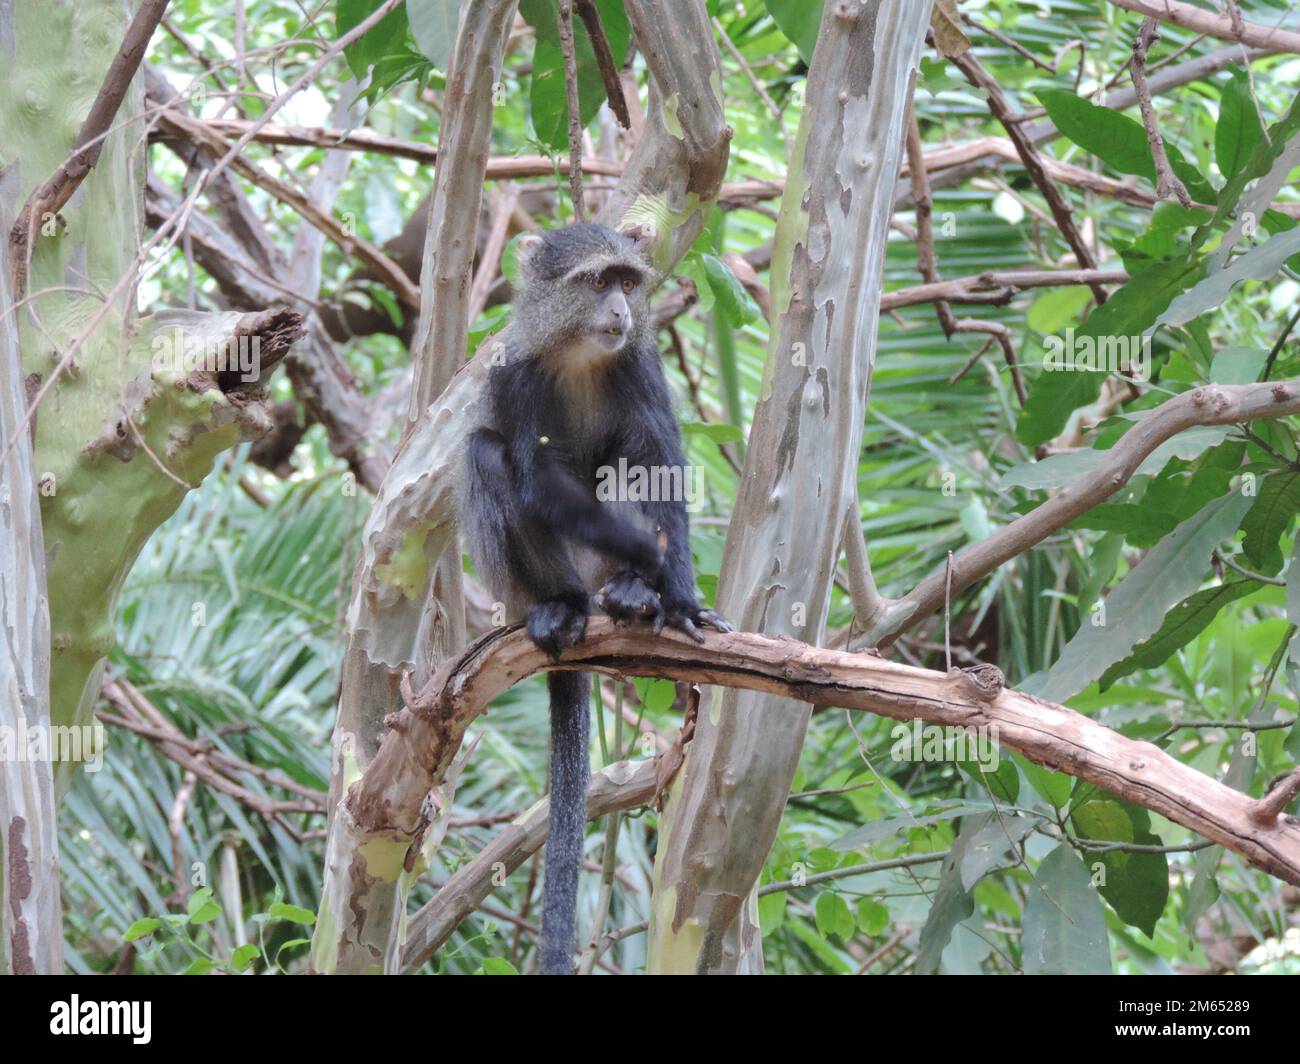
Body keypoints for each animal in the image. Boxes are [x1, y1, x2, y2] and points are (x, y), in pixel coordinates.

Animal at [458, 222, 730, 975]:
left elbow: (660, 463)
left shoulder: (641, 367)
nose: (620, 311)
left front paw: (674, 587)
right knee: (485, 451)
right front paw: (648, 558)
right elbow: (534, 471)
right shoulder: (514, 376)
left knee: (625, 461)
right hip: (523, 579)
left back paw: (631, 595)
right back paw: (564, 606)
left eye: (628, 282)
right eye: (595, 281)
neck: (579, 353)